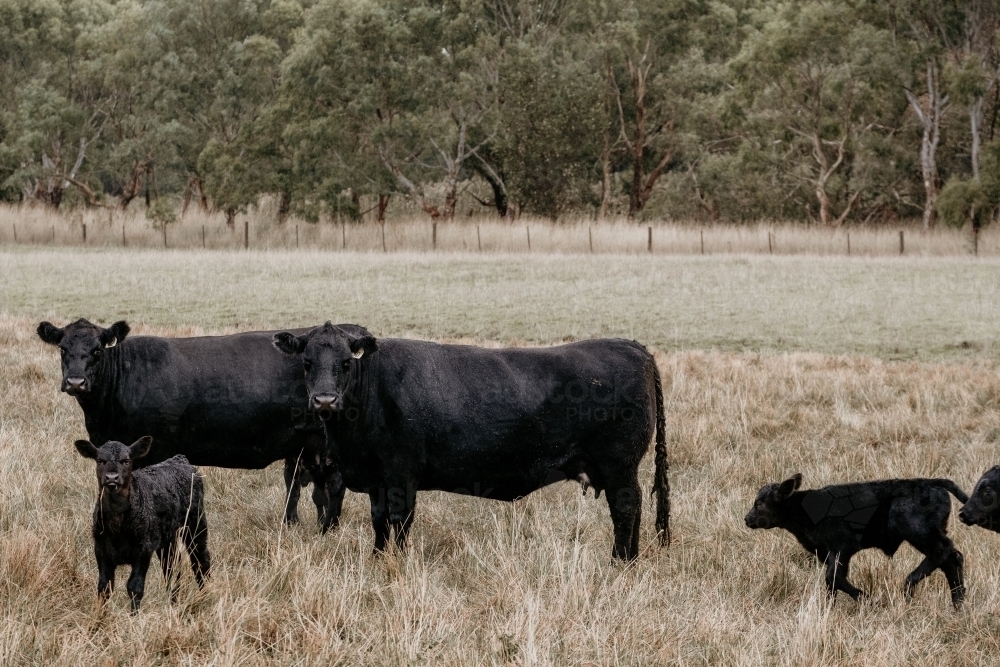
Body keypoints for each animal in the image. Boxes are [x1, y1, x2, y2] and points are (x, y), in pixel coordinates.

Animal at [74, 436, 210, 612]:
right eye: (100, 460)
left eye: (126, 460)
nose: (112, 478)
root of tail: (180, 459)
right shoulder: (101, 549)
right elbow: (104, 587)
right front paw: (98, 617)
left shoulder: (143, 549)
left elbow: (134, 587)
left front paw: (133, 616)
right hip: (167, 537)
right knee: (172, 567)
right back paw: (174, 602)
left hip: (196, 522)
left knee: (200, 560)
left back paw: (206, 596)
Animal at [272, 322, 670, 561]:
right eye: (306, 362)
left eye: (344, 363)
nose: (324, 400)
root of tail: (632, 346)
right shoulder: (376, 477)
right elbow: (378, 520)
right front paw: (378, 558)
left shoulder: (401, 472)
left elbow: (401, 520)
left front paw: (398, 564)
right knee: (633, 508)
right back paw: (630, 560)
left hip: (618, 463)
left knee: (626, 508)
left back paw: (620, 562)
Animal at [745, 473, 968, 608]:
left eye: (759, 503)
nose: (747, 519)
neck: (805, 508)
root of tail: (932, 482)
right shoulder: (829, 553)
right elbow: (832, 581)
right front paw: (830, 607)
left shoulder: (842, 548)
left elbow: (834, 577)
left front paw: (868, 599)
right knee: (951, 559)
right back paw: (957, 603)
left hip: (920, 533)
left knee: (944, 552)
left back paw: (909, 586)